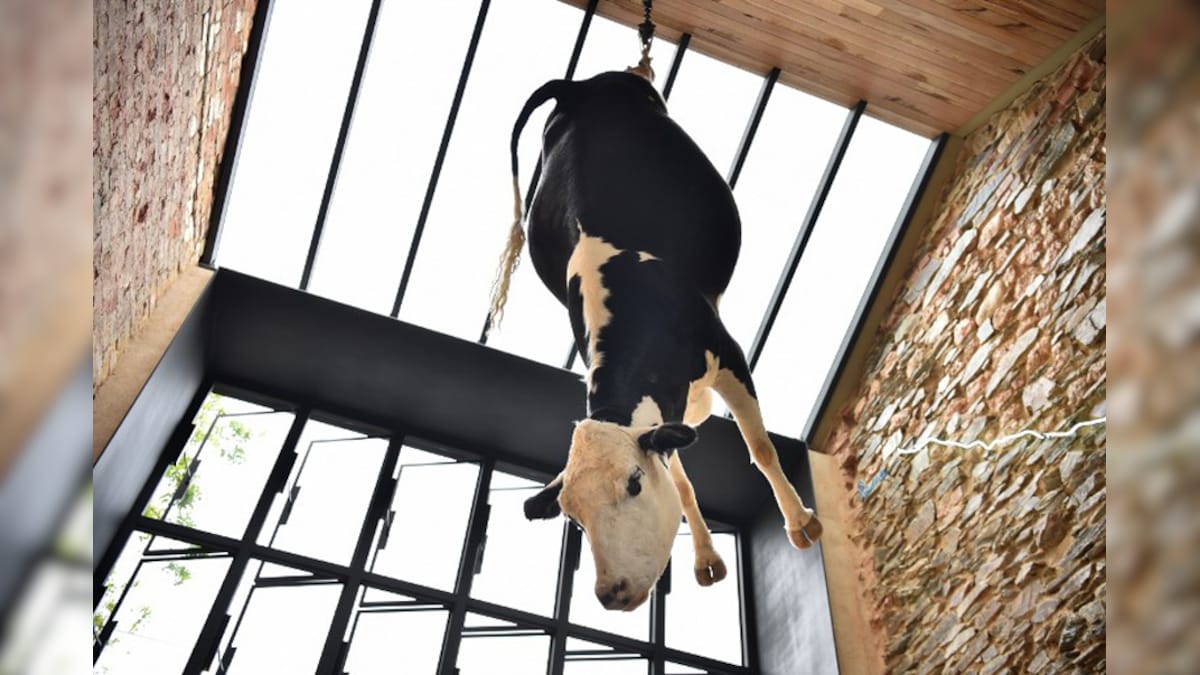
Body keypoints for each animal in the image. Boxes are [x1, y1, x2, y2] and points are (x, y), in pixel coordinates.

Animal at [490, 70, 822, 612]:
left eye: (634, 483)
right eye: (572, 516)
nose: (611, 592)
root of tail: (579, 83)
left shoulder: (729, 355)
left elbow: (761, 448)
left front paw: (800, 523)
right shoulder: (668, 412)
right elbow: (683, 484)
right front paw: (705, 557)